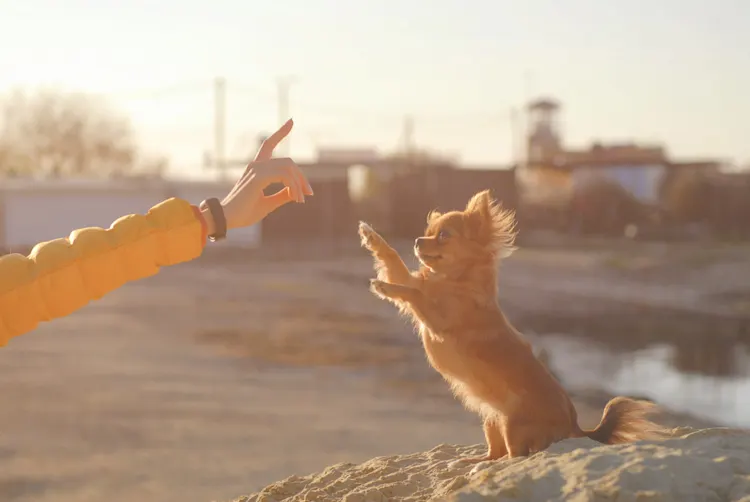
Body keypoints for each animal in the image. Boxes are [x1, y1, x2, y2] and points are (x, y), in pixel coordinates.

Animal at [362, 190, 668, 460]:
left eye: (443, 236)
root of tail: (575, 425)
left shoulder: (439, 320)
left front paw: (385, 286)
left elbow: (414, 294)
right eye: (427, 231)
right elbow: (397, 266)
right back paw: (473, 462)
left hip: (512, 426)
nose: (416, 240)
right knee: (495, 454)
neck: (454, 280)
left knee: (514, 456)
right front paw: (372, 236)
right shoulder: (416, 284)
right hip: (491, 419)